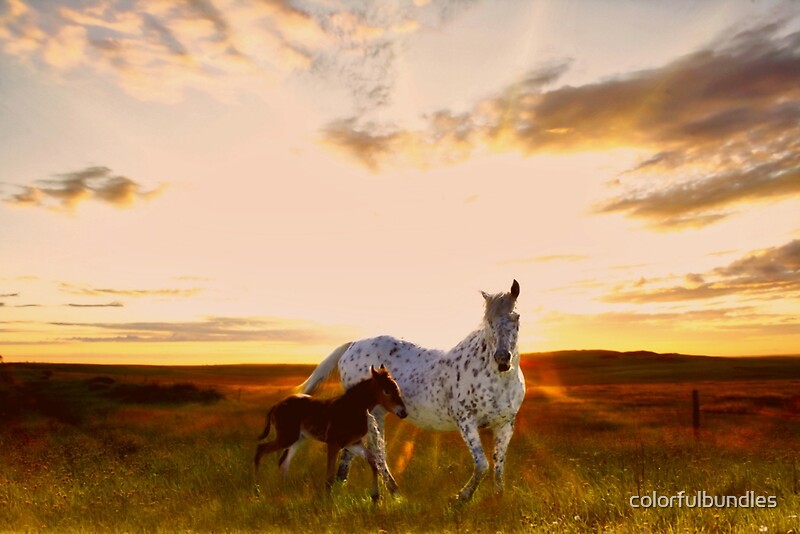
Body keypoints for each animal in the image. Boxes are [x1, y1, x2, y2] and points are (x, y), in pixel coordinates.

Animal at [254, 364, 408, 501]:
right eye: (386, 391)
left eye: (397, 388)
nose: (403, 412)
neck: (353, 407)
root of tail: (275, 406)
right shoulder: (333, 443)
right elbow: (329, 477)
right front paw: (328, 504)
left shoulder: (353, 443)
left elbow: (373, 461)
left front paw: (375, 497)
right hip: (287, 437)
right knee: (261, 450)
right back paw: (257, 492)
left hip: (297, 439)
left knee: (283, 462)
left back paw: (283, 492)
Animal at [295, 279, 525, 501]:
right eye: (489, 322)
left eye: (516, 318)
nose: (502, 359)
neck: (496, 380)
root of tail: (352, 345)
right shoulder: (466, 421)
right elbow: (482, 465)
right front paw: (462, 496)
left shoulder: (505, 425)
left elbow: (498, 464)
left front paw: (498, 498)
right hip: (374, 415)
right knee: (378, 453)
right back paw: (394, 493)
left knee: (351, 452)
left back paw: (340, 486)